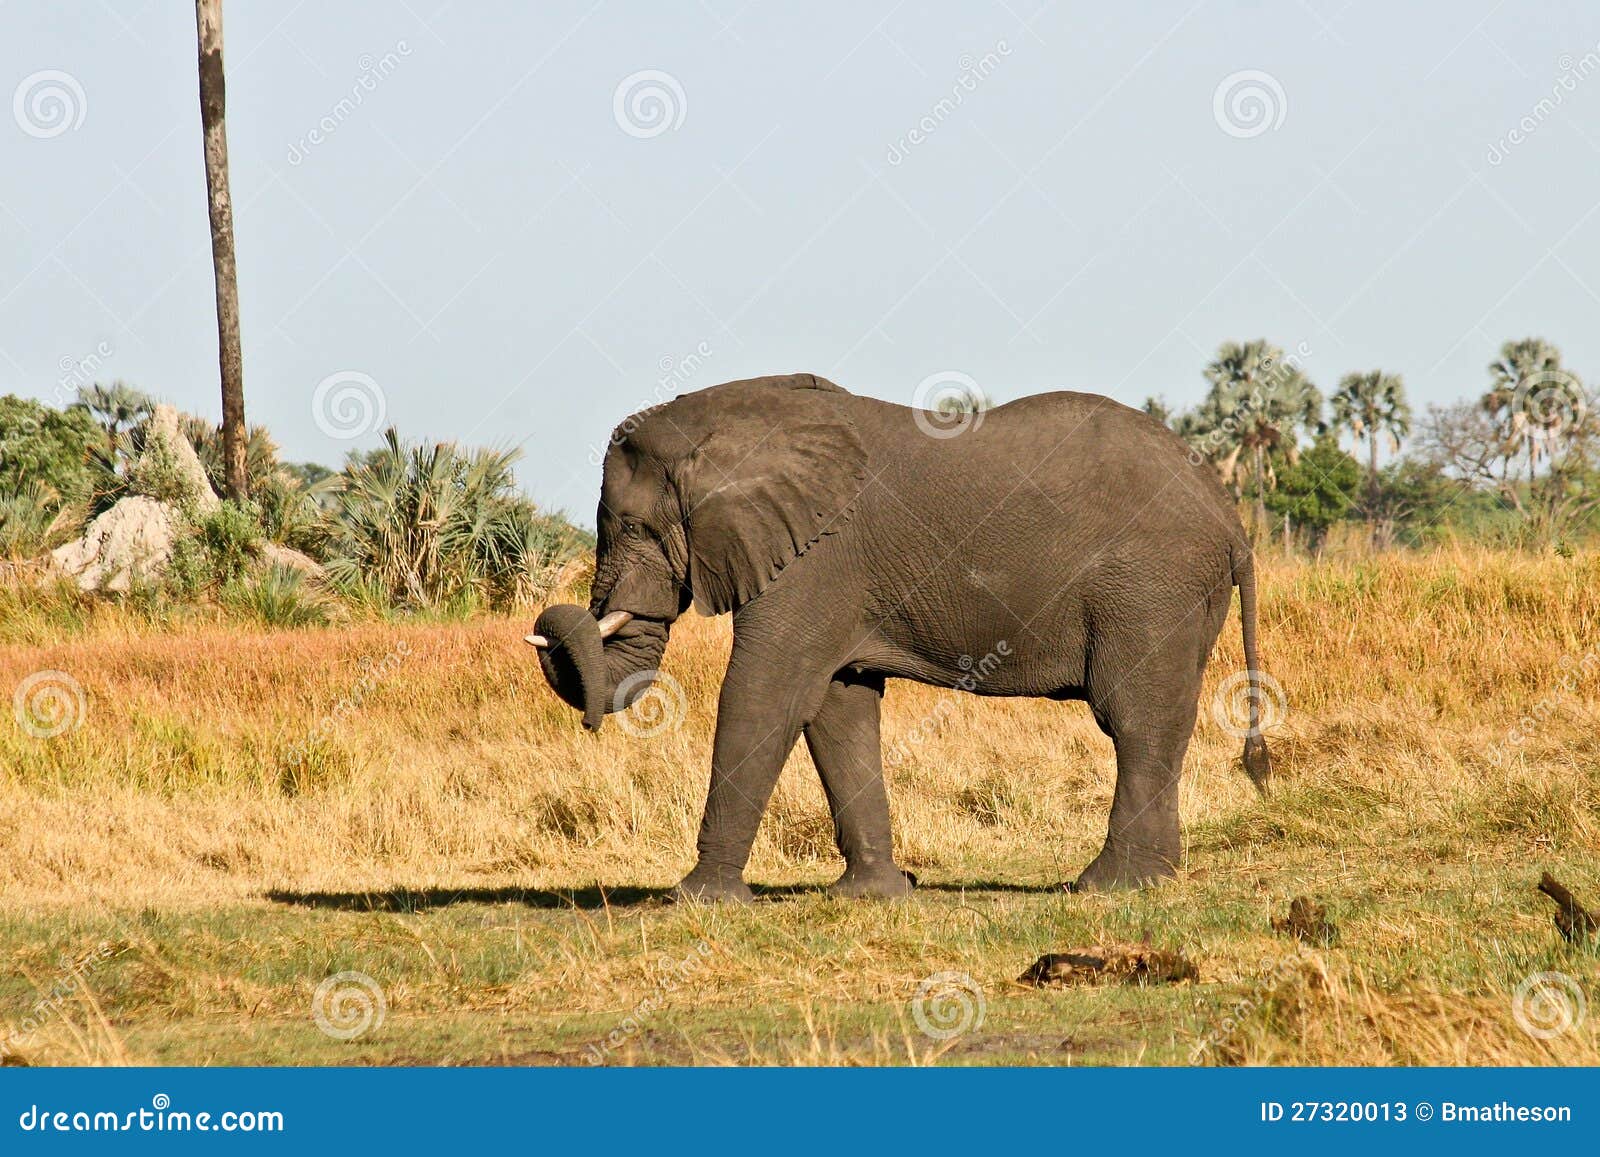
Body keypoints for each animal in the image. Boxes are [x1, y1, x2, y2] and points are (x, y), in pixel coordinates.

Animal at [528, 373, 1271, 900]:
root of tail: (1229, 516)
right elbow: (838, 707)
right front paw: (876, 895)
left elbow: (764, 694)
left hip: (1150, 586)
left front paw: (696, 899)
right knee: (1163, 722)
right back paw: (1155, 877)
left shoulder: (814, 560)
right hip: (1178, 593)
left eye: (631, 526)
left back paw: (1107, 885)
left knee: (1134, 719)